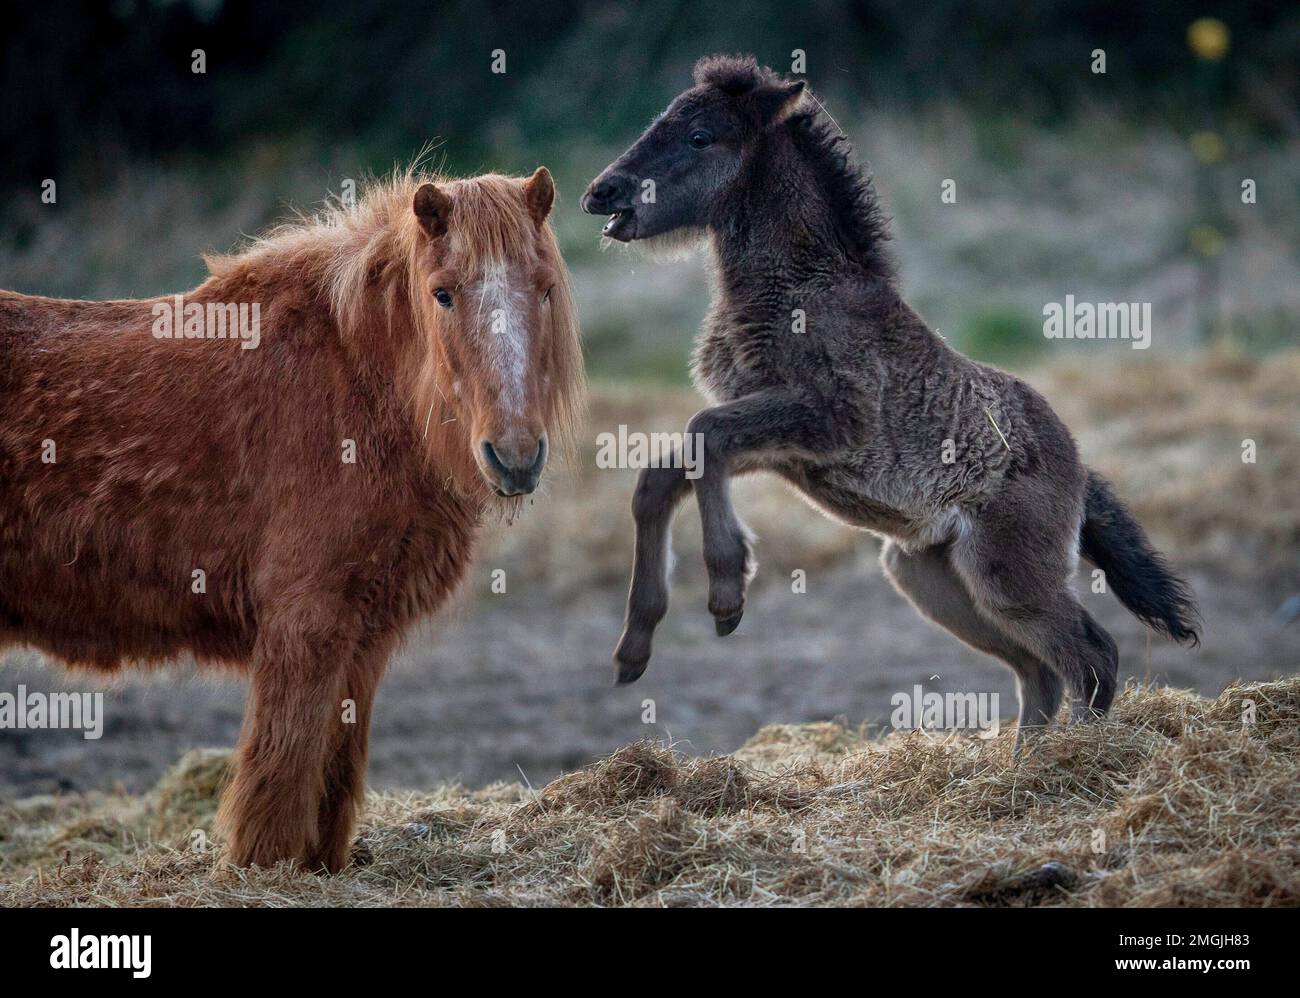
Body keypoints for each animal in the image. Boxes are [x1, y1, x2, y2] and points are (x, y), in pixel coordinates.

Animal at [0, 166, 584, 871]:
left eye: (544, 288)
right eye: (442, 294)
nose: (515, 455)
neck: (356, 387)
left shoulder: (363, 638)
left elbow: (333, 773)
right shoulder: (305, 626)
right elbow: (281, 777)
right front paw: (262, 869)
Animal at [582, 54, 1199, 748]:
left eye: (699, 137)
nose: (602, 192)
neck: (801, 290)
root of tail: (1081, 471)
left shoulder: (831, 420)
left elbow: (701, 431)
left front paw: (727, 590)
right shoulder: (778, 446)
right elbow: (665, 472)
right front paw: (634, 647)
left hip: (1008, 575)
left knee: (1092, 656)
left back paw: (1071, 764)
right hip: (931, 579)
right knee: (1039, 671)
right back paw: (1021, 766)